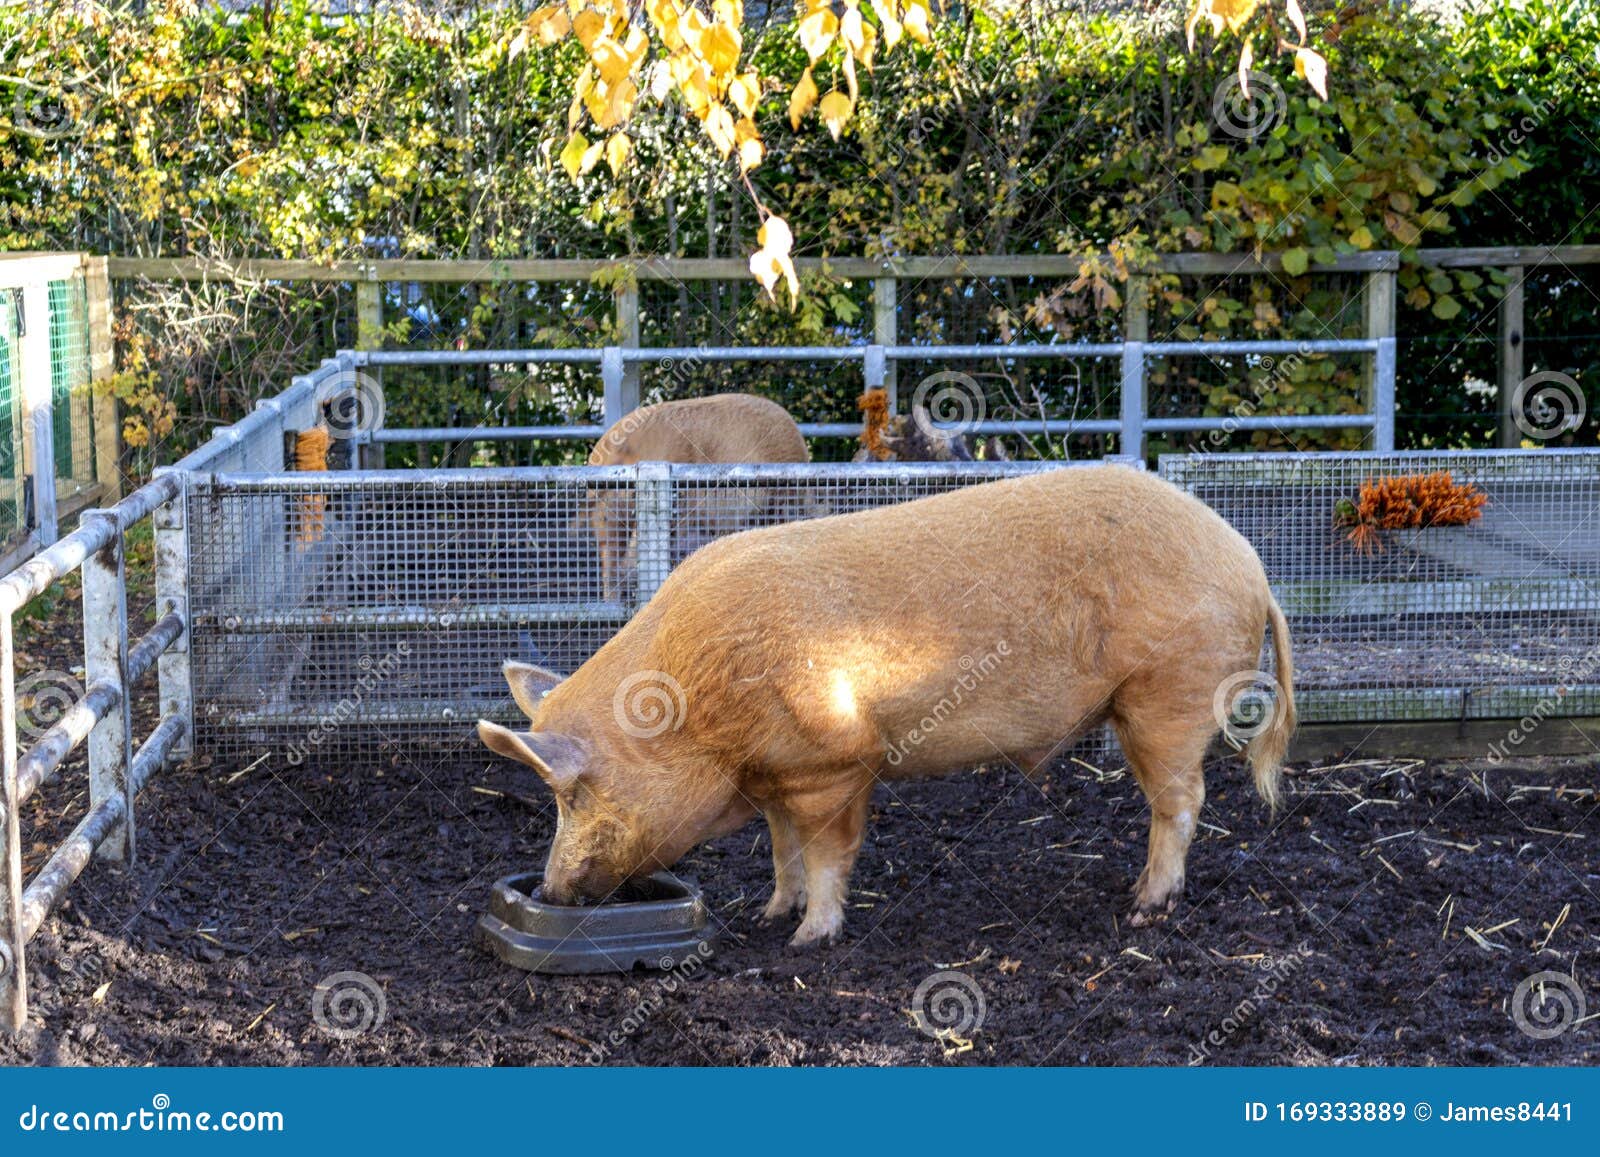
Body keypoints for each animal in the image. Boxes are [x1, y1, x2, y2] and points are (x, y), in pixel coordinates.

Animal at [480, 464, 1295, 947]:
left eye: (572, 796)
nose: (549, 887)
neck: (699, 712)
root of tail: (1252, 563)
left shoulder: (836, 761)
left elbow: (827, 853)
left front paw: (808, 939)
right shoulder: (775, 776)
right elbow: (781, 849)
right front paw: (769, 914)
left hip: (1171, 694)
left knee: (1182, 799)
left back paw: (1144, 905)